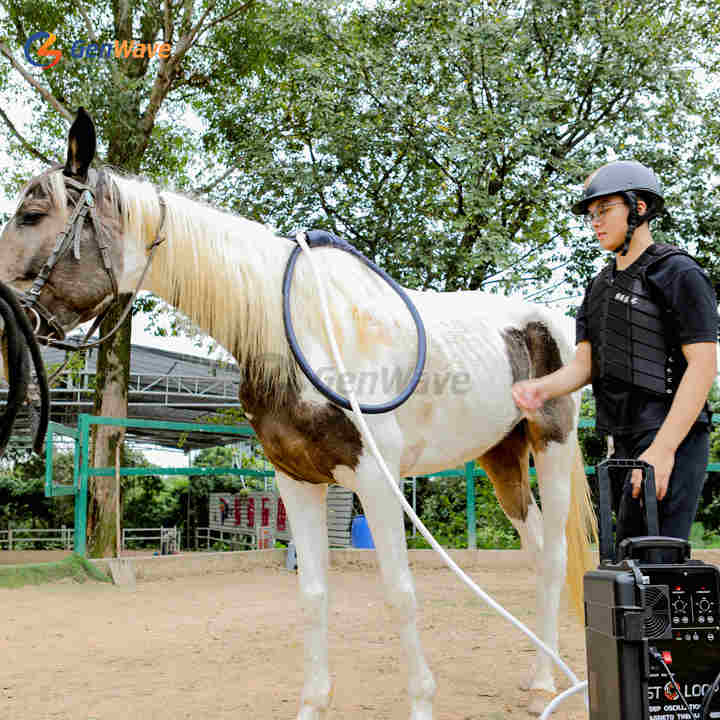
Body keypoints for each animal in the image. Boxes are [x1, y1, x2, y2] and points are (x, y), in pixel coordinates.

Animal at [0, 109, 595, 719]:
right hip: (502, 458)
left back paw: (546, 683)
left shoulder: (377, 480)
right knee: (536, 550)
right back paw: (541, 673)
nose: (4, 317)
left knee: (553, 557)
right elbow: (312, 594)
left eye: (32, 215)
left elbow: (400, 594)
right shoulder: (297, 480)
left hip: (550, 447)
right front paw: (313, 702)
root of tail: (551, 322)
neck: (301, 330)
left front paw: (421, 702)